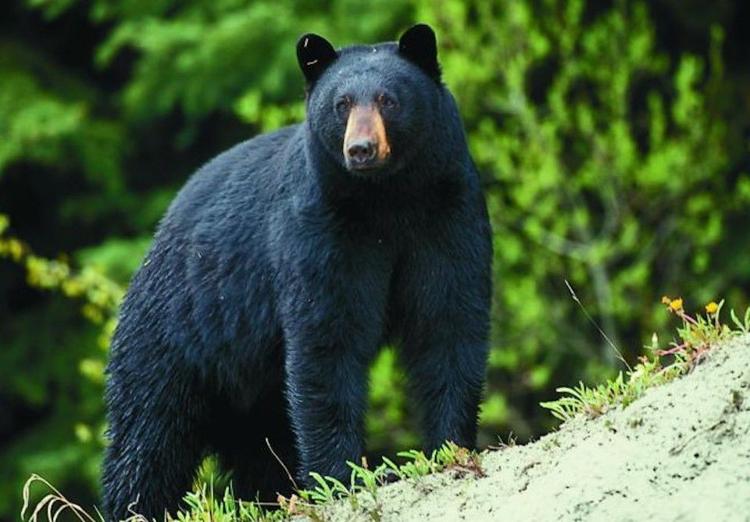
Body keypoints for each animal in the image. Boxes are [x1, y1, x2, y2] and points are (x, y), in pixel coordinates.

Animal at [102, 23, 492, 521]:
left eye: (388, 99)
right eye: (341, 103)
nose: (361, 149)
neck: (387, 197)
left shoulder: (446, 213)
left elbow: (448, 319)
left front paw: (450, 447)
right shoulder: (320, 230)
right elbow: (326, 340)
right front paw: (343, 477)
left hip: (249, 387)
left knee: (259, 443)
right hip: (176, 335)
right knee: (149, 433)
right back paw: (134, 506)